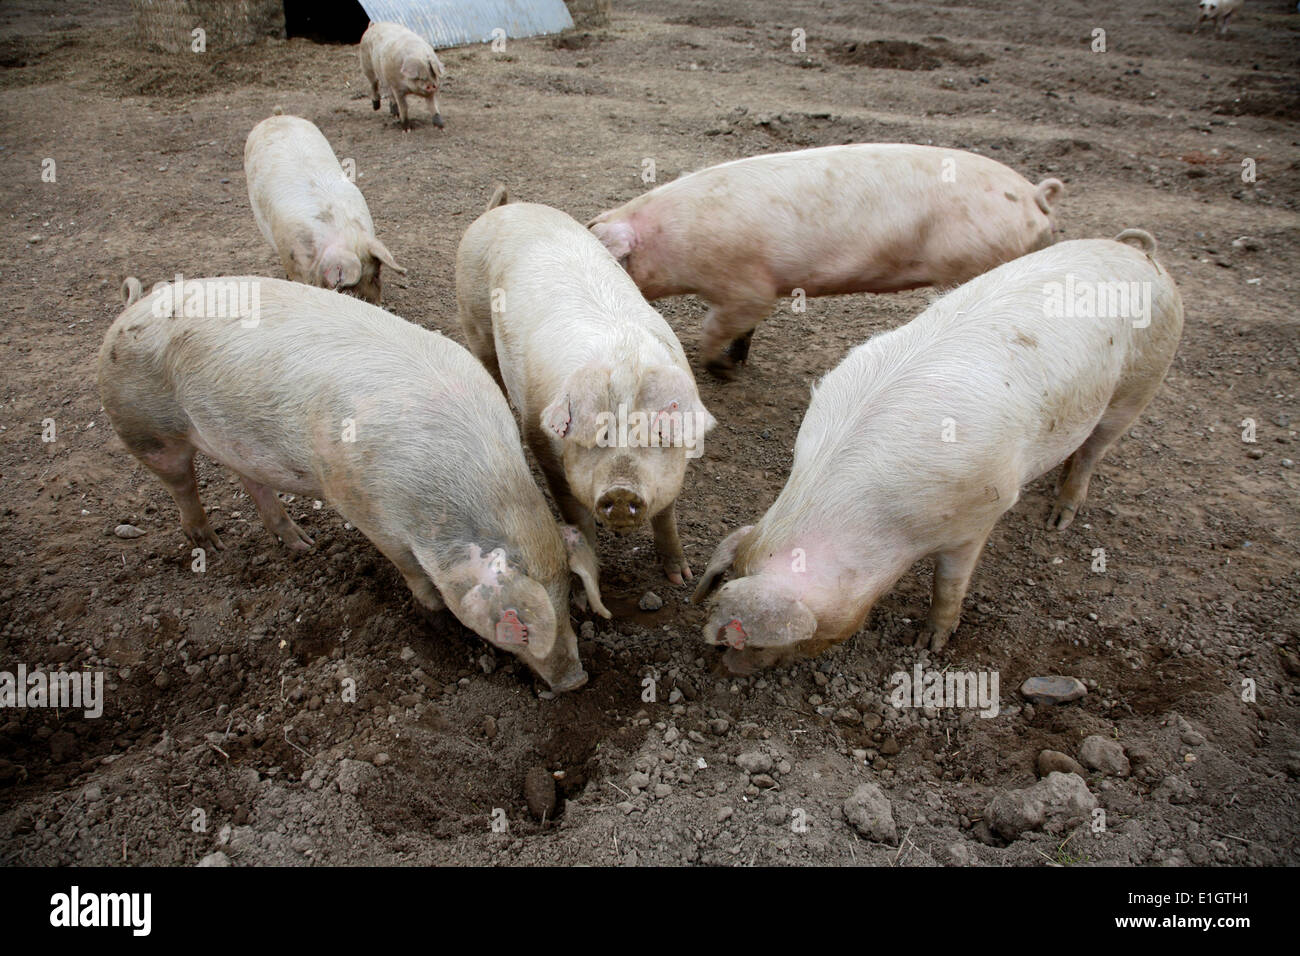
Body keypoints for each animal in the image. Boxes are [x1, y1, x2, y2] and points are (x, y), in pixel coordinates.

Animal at [99, 275, 608, 692]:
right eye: (518, 626)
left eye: (569, 597)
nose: (576, 680)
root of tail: (132, 307)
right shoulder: (356, 502)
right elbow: (409, 568)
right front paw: (435, 614)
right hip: (145, 427)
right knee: (181, 484)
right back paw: (211, 544)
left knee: (251, 482)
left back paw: (302, 544)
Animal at [244, 114, 405, 304]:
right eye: (346, 290)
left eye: (376, 275)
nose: (373, 304)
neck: (347, 235)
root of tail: (277, 116)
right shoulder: (290, 255)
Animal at [457, 190, 716, 585]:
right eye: (593, 432)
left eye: (657, 432)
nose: (622, 491)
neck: (623, 364)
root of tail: (501, 209)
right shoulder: (545, 447)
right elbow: (576, 517)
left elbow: (666, 513)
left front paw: (681, 577)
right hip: (474, 319)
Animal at [588, 143, 1065, 378]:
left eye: (615, 263)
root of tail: (1033, 194)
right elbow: (746, 329)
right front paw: (740, 359)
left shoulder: (745, 285)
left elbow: (719, 326)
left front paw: (724, 370)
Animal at [692, 229, 1183, 673]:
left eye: (759, 645)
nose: (726, 672)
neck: (890, 528)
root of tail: (1140, 253)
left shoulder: (980, 514)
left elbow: (949, 584)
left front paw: (929, 645)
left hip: (1142, 381)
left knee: (1095, 450)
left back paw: (1058, 520)